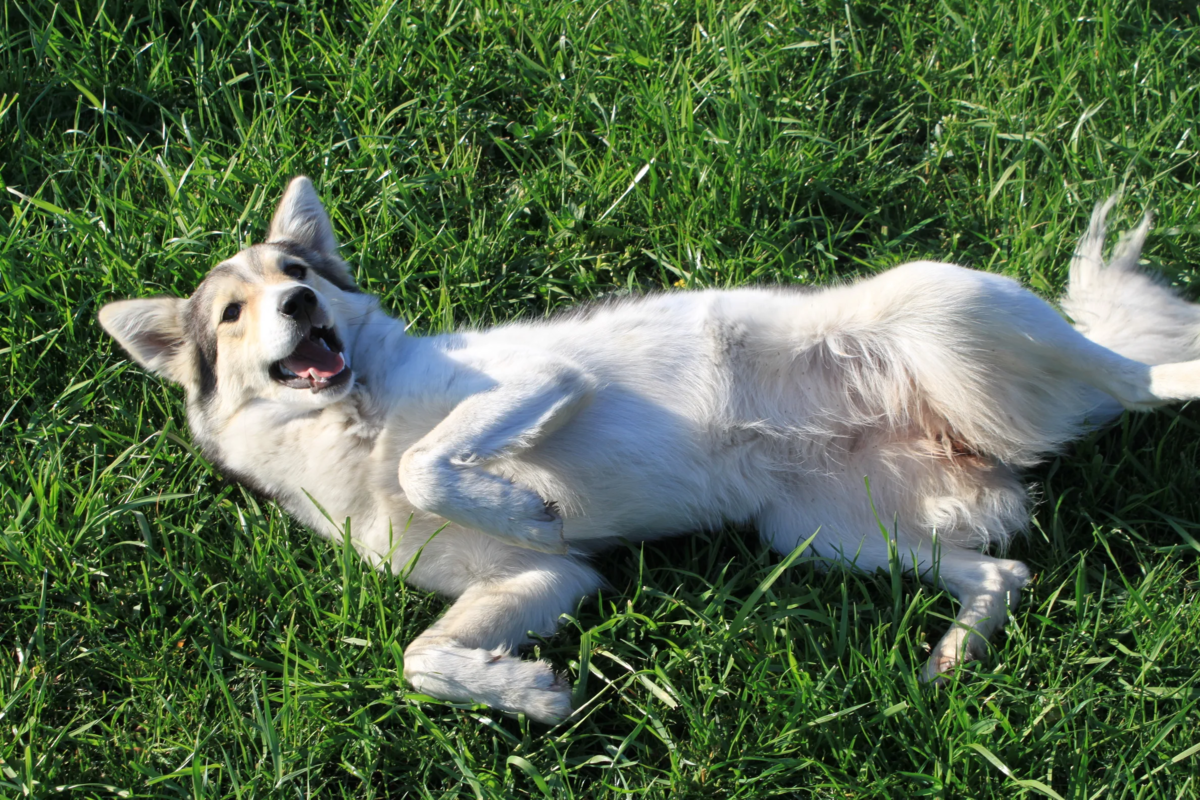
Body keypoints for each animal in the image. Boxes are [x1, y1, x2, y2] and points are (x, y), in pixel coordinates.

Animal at [98, 176, 1200, 724]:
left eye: (296, 271)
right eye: (234, 311)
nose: (300, 304)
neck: (356, 417)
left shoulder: (542, 381)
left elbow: (436, 462)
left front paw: (516, 498)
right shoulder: (549, 578)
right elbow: (424, 660)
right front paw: (530, 697)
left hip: (944, 321)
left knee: (1136, 379)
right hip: (815, 532)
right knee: (1005, 571)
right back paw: (957, 649)